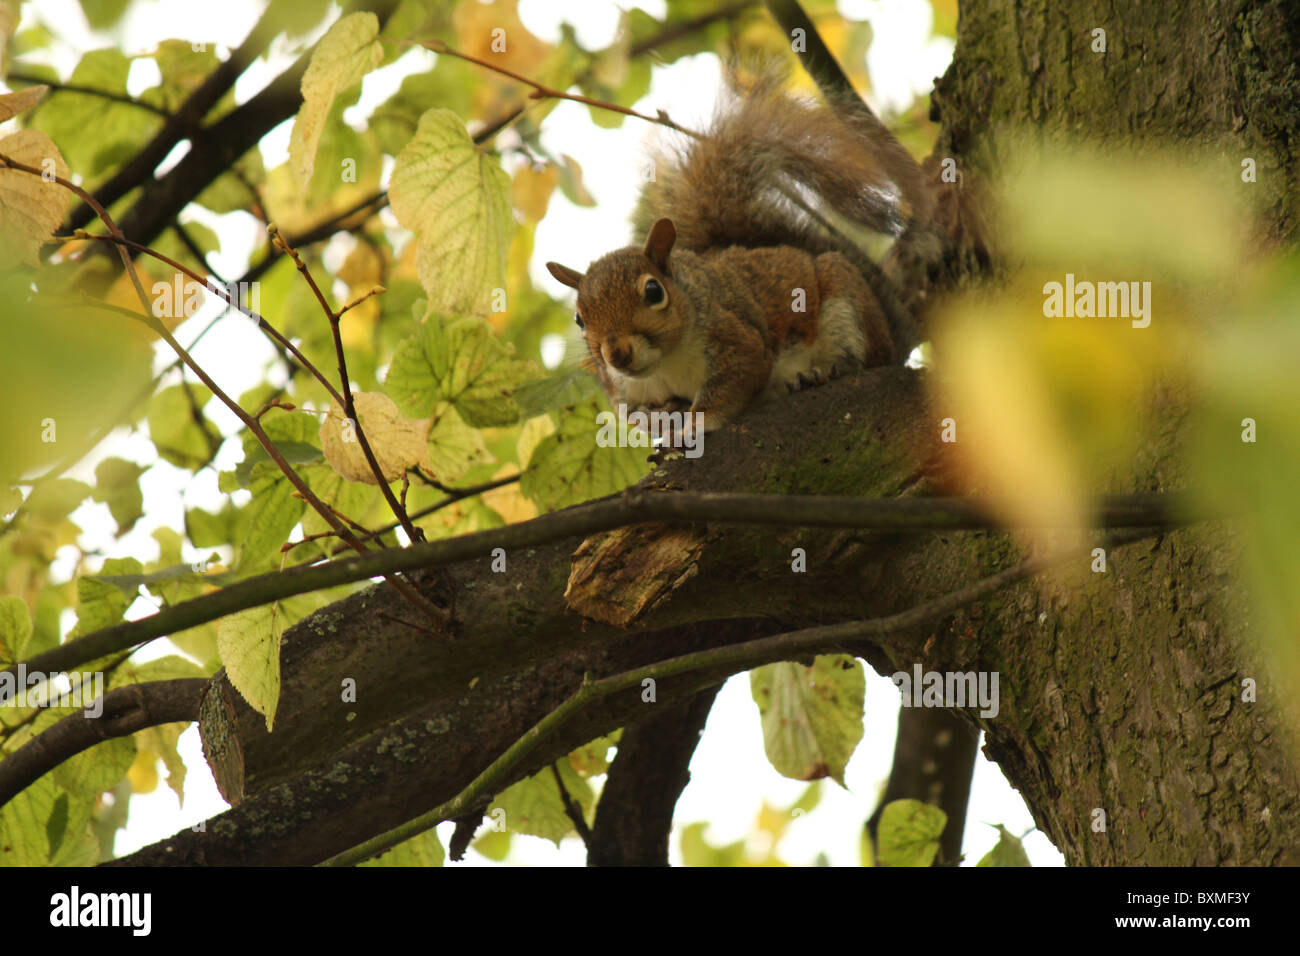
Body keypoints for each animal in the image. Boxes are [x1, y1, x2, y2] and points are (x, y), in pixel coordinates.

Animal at [546, 72, 928, 441]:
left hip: (844, 297)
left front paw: (695, 424)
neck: (667, 362)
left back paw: (822, 372)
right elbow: (640, 417)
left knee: (865, 357)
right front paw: (664, 417)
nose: (617, 354)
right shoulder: (625, 392)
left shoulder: (737, 339)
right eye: (579, 319)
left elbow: (733, 382)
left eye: (654, 292)